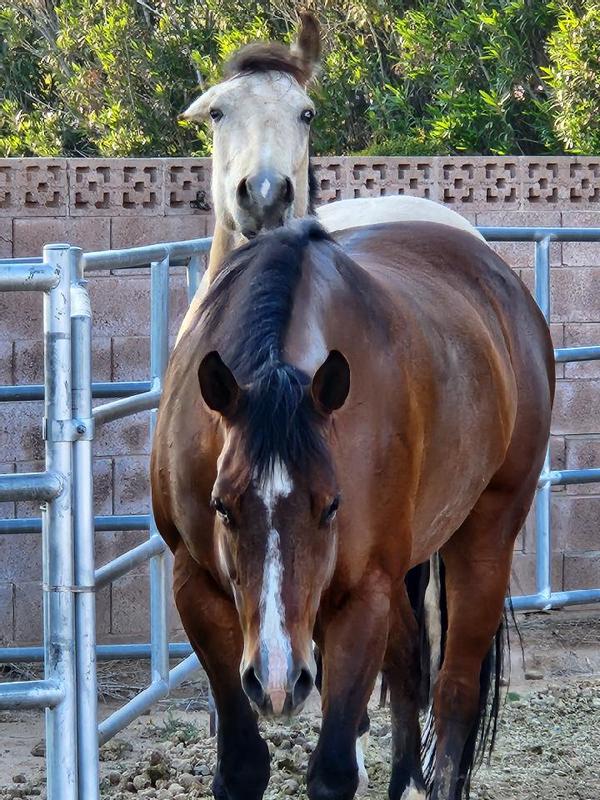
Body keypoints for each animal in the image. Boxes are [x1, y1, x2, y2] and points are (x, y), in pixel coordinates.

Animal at [151, 218, 554, 800]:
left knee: (453, 692)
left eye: (331, 506)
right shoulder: (197, 589)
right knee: (410, 670)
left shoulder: (363, 596)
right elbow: (243, 767)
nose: (277, 681)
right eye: (221, 507)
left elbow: (335, 769)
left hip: (484, 539)